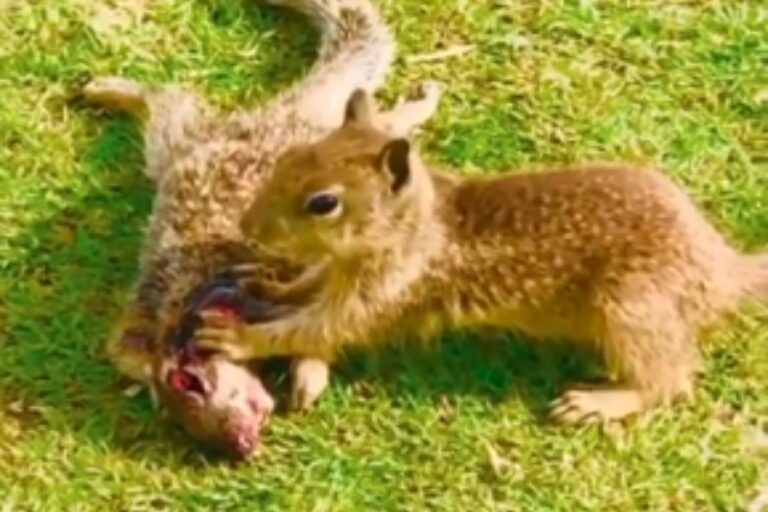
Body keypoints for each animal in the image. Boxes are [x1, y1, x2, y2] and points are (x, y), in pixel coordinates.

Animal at [82, 0, 443, 456]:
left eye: (188, 381)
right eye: (172, 419)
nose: (240, 445)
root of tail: (287, 112)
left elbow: (334, 315)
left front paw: (307, 377)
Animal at [194, 89, 768, 425]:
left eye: (323, 203)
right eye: (291, 157)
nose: (246, 226)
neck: (415, 229)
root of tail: (722, 267)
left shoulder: (381, 297)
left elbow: (313, 327)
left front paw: (237, 337)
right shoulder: (336, 272)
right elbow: (304, 290)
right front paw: (265, 283)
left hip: (632, 308)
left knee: (669, 379)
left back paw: (597, 403)